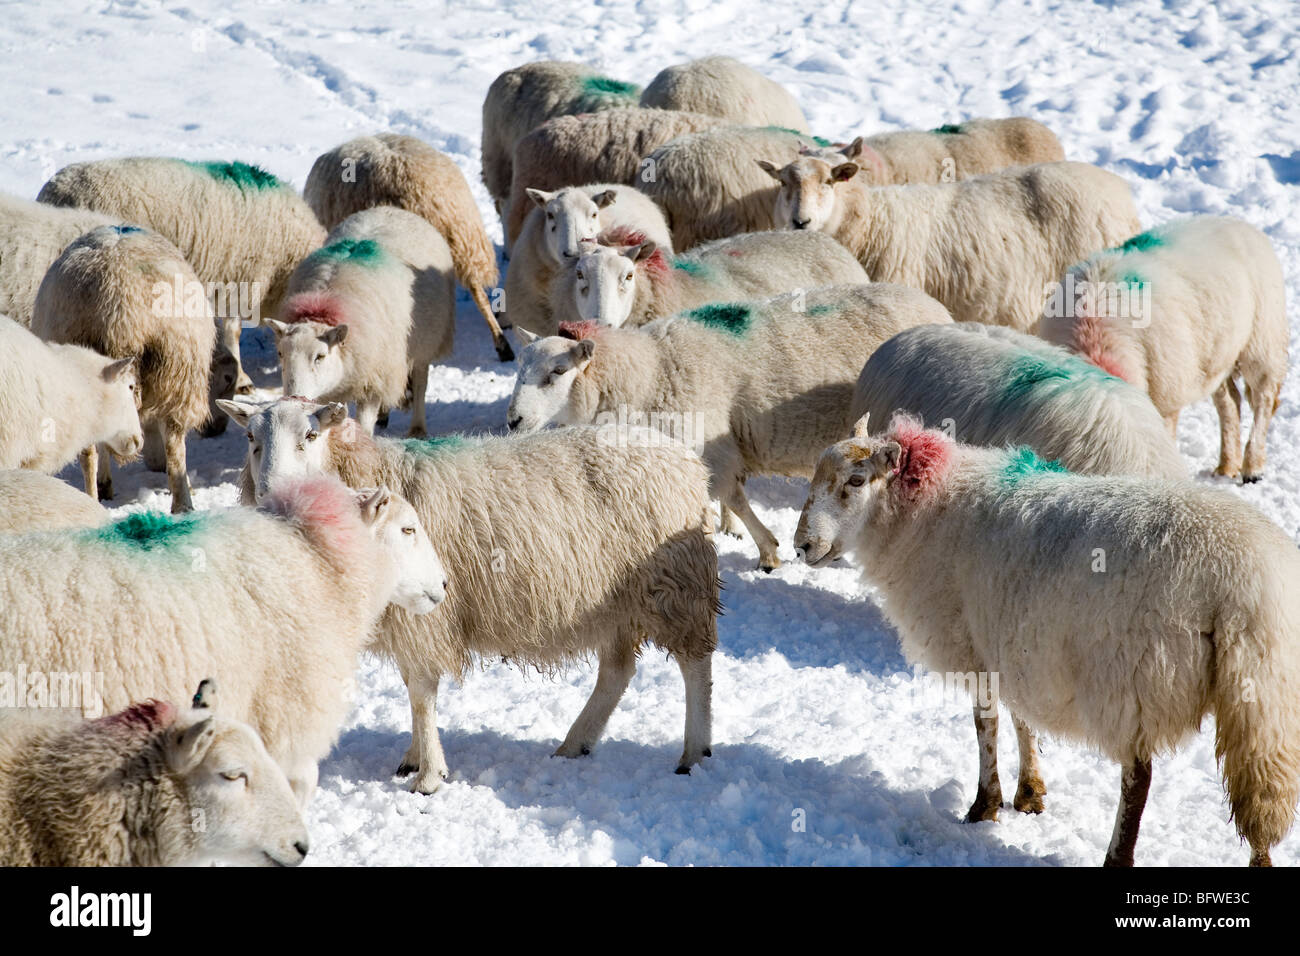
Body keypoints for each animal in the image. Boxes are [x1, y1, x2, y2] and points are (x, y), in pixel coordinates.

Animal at [221, 397, 720, 795]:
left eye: (310, 434)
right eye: (250, 437)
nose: (272, 492)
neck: (374, 475)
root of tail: (686, 458)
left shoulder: (424, 613)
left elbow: (422, 692)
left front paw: (429, 776)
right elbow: (412, 686)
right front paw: (414, 757)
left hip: (675, 585)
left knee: (695, 664)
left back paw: (692, 753)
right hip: (616, 602)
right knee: (617, 672)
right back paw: (575, 743)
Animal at [269, 206, 455, 437]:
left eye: (320, 356)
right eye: (280, 354)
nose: (294, 396)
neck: (322, 309)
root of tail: (391, 209)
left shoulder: (373, 381)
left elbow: (365, 423)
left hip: (424, 343)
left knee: (421, 383)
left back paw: (418, 428)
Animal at [508, 283, 953, 570]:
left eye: (557, 372)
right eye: (519, 369)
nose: (513, 420)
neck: (652, 370)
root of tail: (935, 307)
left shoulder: (711, 448)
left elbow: (732, 496)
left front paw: (767, 552)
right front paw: (733, 531)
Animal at [793, 416, 1300, 866]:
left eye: (856, 480)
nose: (801, 546)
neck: (925, 511)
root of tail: (1243, 581)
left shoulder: (972, 642)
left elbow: (986, 724)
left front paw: (985, 805)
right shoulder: (1015, 639)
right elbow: (1023, 719)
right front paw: (1029, 793)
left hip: (1136, 676)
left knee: (1138, 778)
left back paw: (1116, 857)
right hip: (1263, 691)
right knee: (1262, 789)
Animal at [1037, 216, 1288, 482]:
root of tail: (1239, 222)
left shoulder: (1167, 398)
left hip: (1263, 341)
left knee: (1264, 400)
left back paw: (1253, 466)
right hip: (1217, 356)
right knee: (1230, 403)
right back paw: (1226, 466)